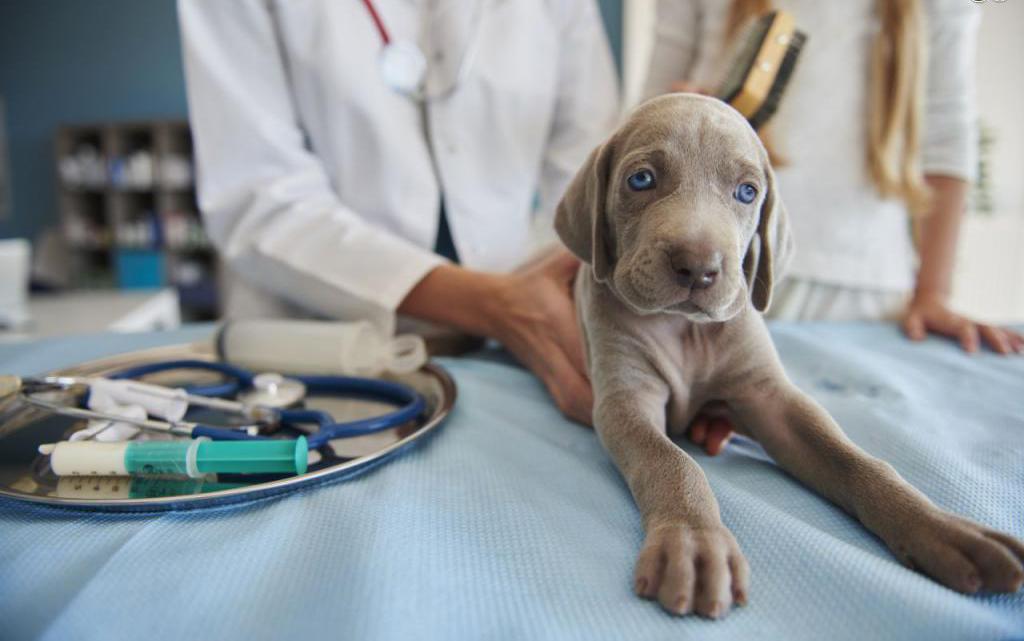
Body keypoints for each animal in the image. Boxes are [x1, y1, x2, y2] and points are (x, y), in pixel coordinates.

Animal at [557, 94, 1024, 618]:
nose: (698, 267)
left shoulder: (771, 400)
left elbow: (854, 460)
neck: (684, 330)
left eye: (746, 192)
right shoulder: (625, 401)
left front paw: (939, 527)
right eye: (641, 180)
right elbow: (669, 461)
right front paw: (694, 542)